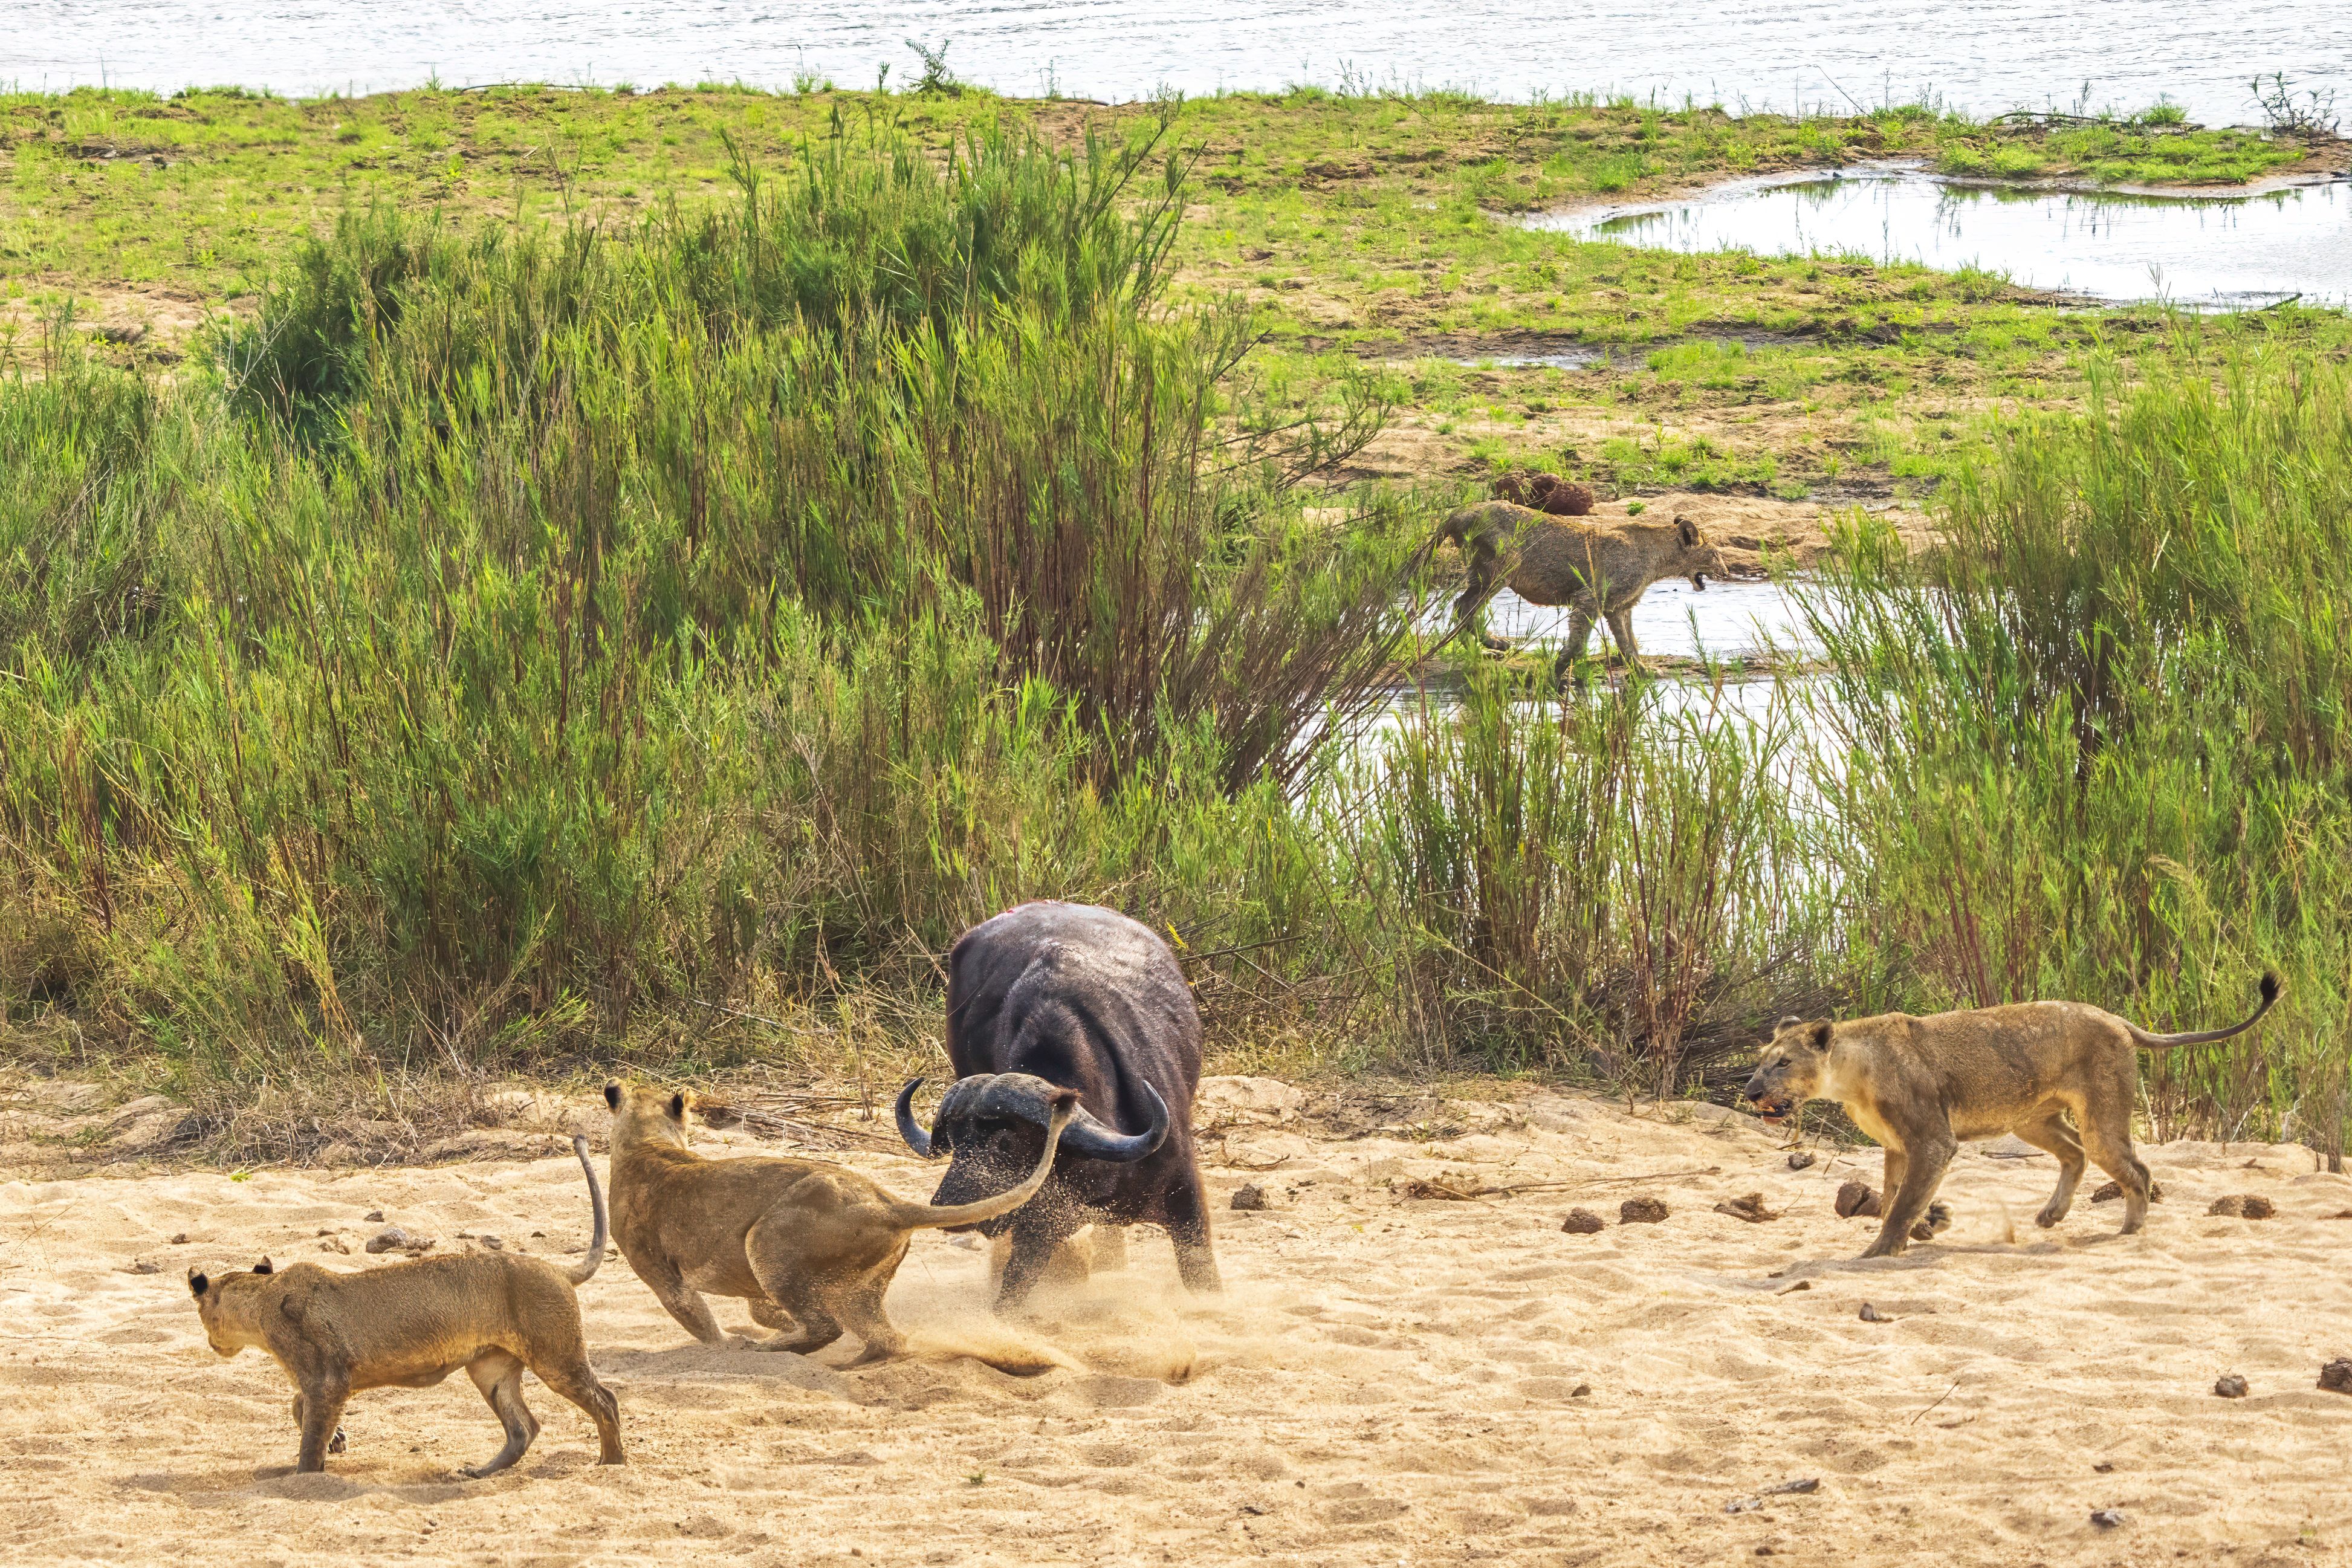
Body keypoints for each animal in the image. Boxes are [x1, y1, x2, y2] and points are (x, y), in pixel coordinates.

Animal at [187, 1135, 625, 1477]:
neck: (262, 1300)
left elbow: (309, 1440)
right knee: (525, 1427)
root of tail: (557, 1269)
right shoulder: (322, 1382)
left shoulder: (328, 1379)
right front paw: (338, 1439)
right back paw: (479, 1472)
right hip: (490, 1369)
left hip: (555, 1355)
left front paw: (305, 1476)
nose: (212, 1345)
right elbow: (300, 1407)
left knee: (605, 1400)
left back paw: (611, 1464)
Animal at [604, 1079, 1076, 1368]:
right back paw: (847, 1364)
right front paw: (769, 1320)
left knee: (825, 1326)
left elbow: (698, 1319)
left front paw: (729, 1344)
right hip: (859, 1287)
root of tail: (890, 1205)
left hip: (768, 1241)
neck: (649, 1142)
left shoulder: (661, 1273)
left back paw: (767, 1350)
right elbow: (759, 1308)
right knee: (885, 1338)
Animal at [895, 901, 1220, 1307]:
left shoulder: (1187, 1199)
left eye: (1006, 1143)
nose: (948, 1208)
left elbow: (1203, 1278)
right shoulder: (1036, 1226)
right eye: (957, 1145)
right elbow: (1011, 1296)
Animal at [1440, 500, 1719, 677]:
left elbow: (1629, 642)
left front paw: (1643, 671)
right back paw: (1490, 645)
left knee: (1460, 605)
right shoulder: (1593, 597)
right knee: (1465, 606)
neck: (1658, 558)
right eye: (1716, 553)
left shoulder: (1620, 606)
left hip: (1484, 571)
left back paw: (1480, 649)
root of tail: (1458, 514)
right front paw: (1558, 669)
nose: (1726, 570)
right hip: (1501, 567)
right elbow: (1582, 641)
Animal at [1743, 973, 2281, 1258]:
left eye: (1782, 1063)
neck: (1851, 1074)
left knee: (2135, 1168)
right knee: (2075, 1154)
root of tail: (2118, 1019)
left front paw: (1883, 1250)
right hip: (2030, 1118)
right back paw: (2051, 1215)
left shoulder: (1931, 1140)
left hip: (2100, 1113)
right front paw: (1925, 1227)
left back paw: (2129, 1230)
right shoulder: (1896, 1146)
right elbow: (1894, 1197)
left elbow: (1902, 1202)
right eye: (1761, 1059)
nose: (1749, 1092)